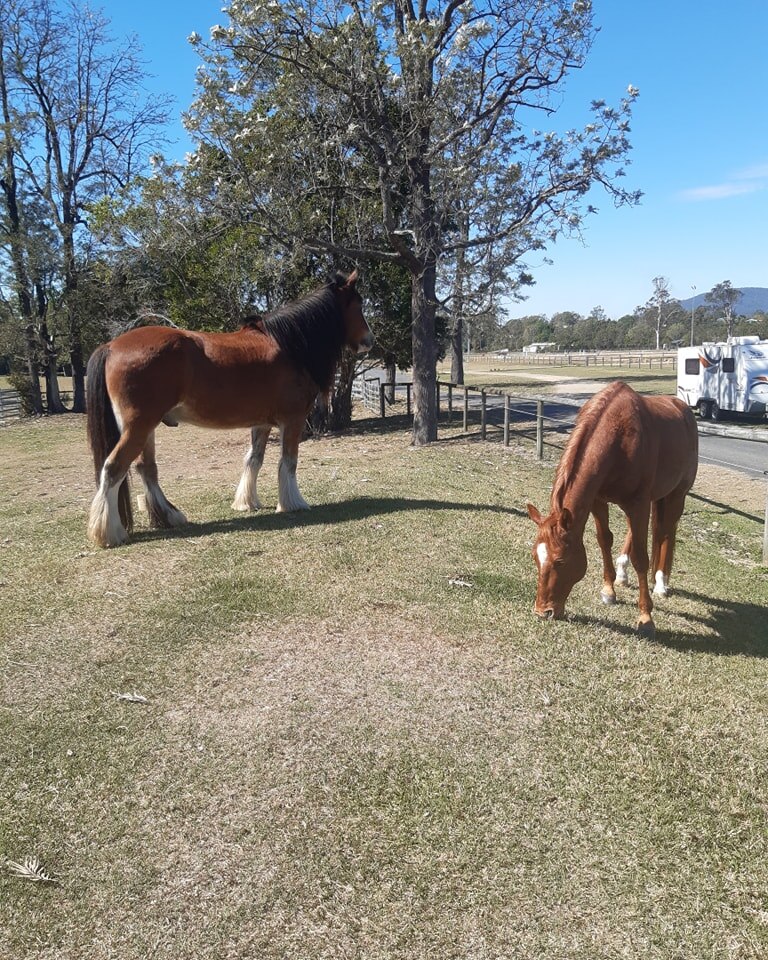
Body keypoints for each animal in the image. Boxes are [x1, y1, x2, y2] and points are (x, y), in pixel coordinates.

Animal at [86, 270, 372, 548]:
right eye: (358, 304)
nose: (369, 340)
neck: (291, 346)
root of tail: (110, 346)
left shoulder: (262, 423)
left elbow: (254, 459)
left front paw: (247, 502)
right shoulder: (294, 420)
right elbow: (289, 461)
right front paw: (293, 503)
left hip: (147, 428)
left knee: (147, 469)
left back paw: (170, 517)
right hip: (139, 426)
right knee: (113, 468)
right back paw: (110, 533)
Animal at [526, 381, 698, 638]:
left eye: (560, 561)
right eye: (535, 557)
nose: (542, 612)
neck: (619, 438)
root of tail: (684, 409)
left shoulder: (639, 504)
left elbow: (641, 557)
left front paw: (646, 618)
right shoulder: (598, 500)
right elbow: (604, 540)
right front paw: (609, 590)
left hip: (676, 496)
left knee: (667, 531)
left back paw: (661, 583)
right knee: (640, 532)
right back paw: (623, 574)